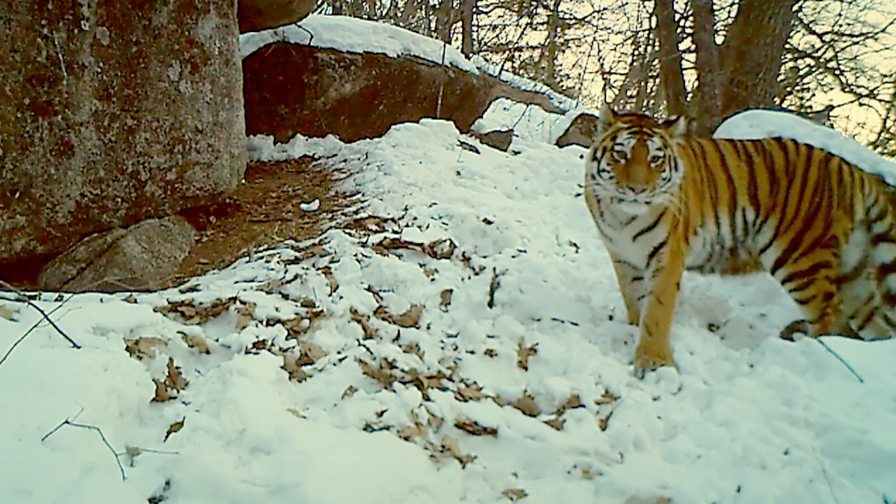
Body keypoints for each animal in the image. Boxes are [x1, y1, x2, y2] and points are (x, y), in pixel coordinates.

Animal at [583, 104, 896, 376]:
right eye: (621, 154)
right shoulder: (622, 256)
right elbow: (635, 300)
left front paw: (653, 362)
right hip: (853, 273)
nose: (637, 190)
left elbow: (657, 311)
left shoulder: (667, 256)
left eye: (655, 159)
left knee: (831, 315)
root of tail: (853, 170)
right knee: (873, 324)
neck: (623, 218)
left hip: (801, 260)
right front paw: (634, 331)